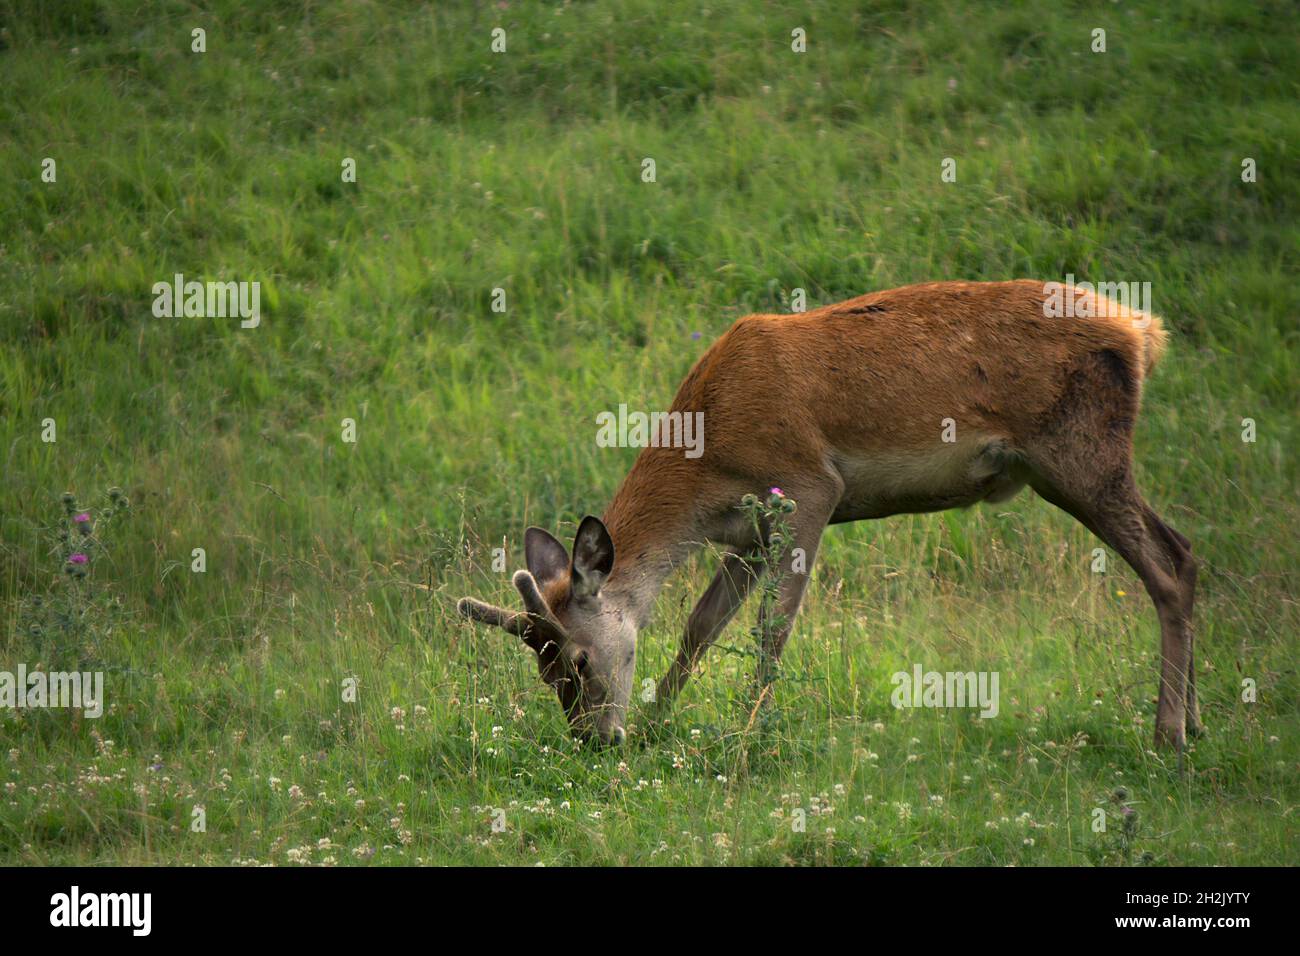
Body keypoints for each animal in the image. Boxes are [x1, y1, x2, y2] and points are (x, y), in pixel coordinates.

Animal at [457, 279, 1199, 752]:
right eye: (543, 671)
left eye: (579, 662)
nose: (595, 740)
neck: (705, 458)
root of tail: (1143, 333)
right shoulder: (748, 531)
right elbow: (700, 625)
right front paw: (658, 724)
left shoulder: (809, 487)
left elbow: (771, 630)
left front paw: (746, 735)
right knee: (1185, 551)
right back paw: (1195, 723)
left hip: (1077, 453)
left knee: (1164, 569)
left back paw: (1166, 732)